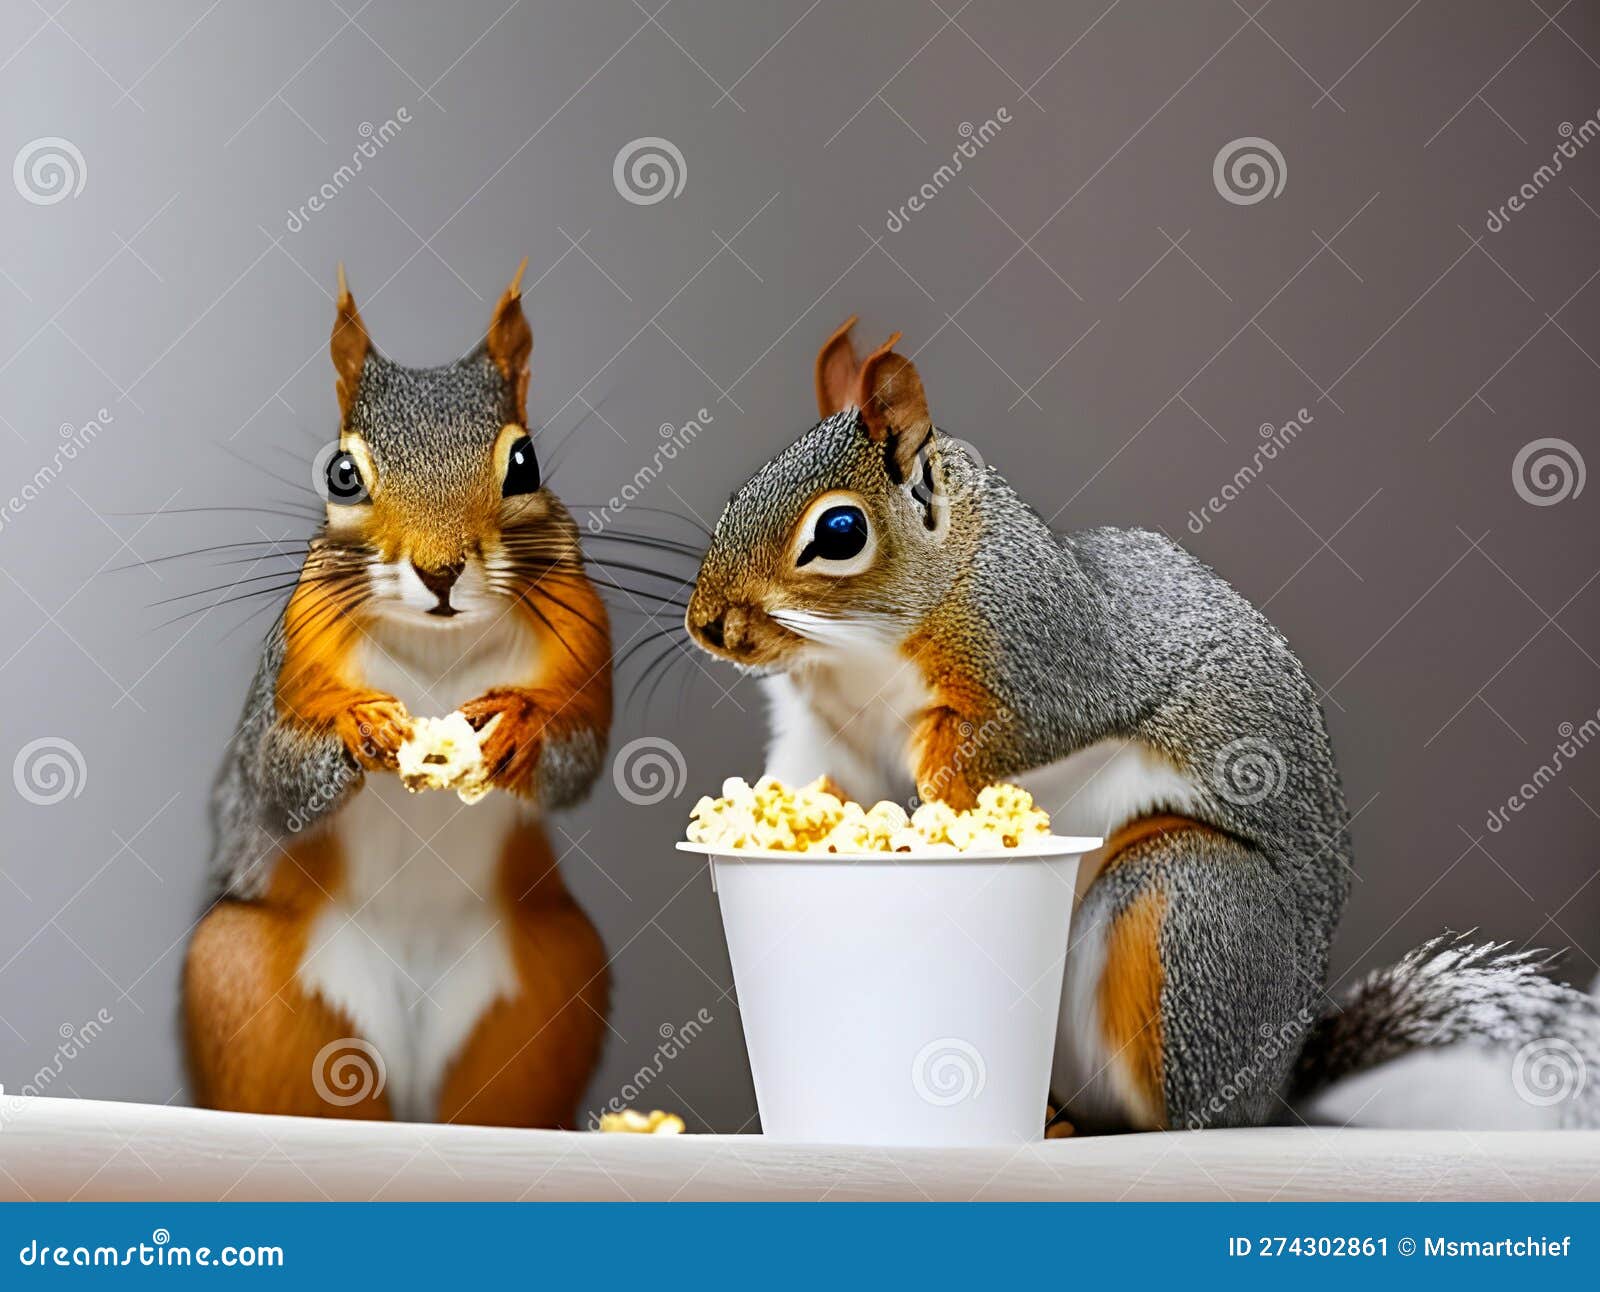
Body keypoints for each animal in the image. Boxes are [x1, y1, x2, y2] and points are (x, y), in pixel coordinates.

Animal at [183, 266, 612, 1127]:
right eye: (342, 476)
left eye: (525, 465)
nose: (439, 570)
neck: (440, 646)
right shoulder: (287, 676)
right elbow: (271, 774)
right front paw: (359, 729)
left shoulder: (586, 651)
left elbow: (579, 757)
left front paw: (520, 728)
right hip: (246, 991)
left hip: (550, 989)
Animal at [684, 316, 1600, 1133]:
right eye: (732, 498)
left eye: (839, 532)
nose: (708, 628)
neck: (858, 653)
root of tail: (1271, 1091)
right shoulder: (824, 734)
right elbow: (814, 783)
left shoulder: (1052, 653)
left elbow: (1022, 729)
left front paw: (943, 802)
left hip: (1186, 905)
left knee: (1180, 1112)